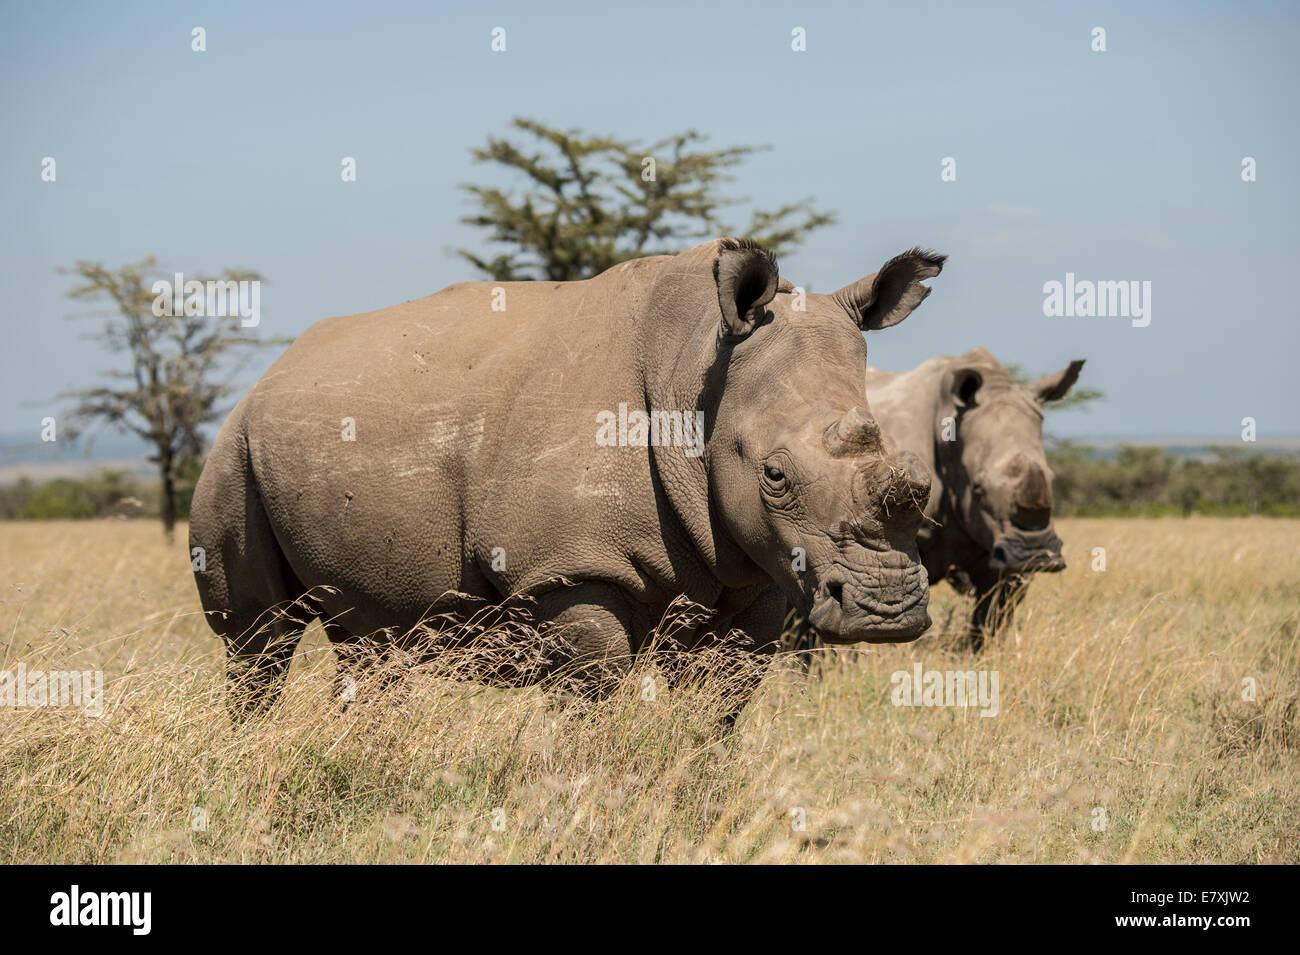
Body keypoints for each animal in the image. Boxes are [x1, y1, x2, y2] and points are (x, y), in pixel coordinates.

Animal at [190, 238, 947, 718]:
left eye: (914, 476)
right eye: (776, 475)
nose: (888, 611)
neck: (697, 371)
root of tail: (275, 366)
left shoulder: (755, 573)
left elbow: (714, 721)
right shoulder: (569, 569)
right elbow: (592, 711)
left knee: (372, 642)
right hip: (233, 445)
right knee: (257, 639)